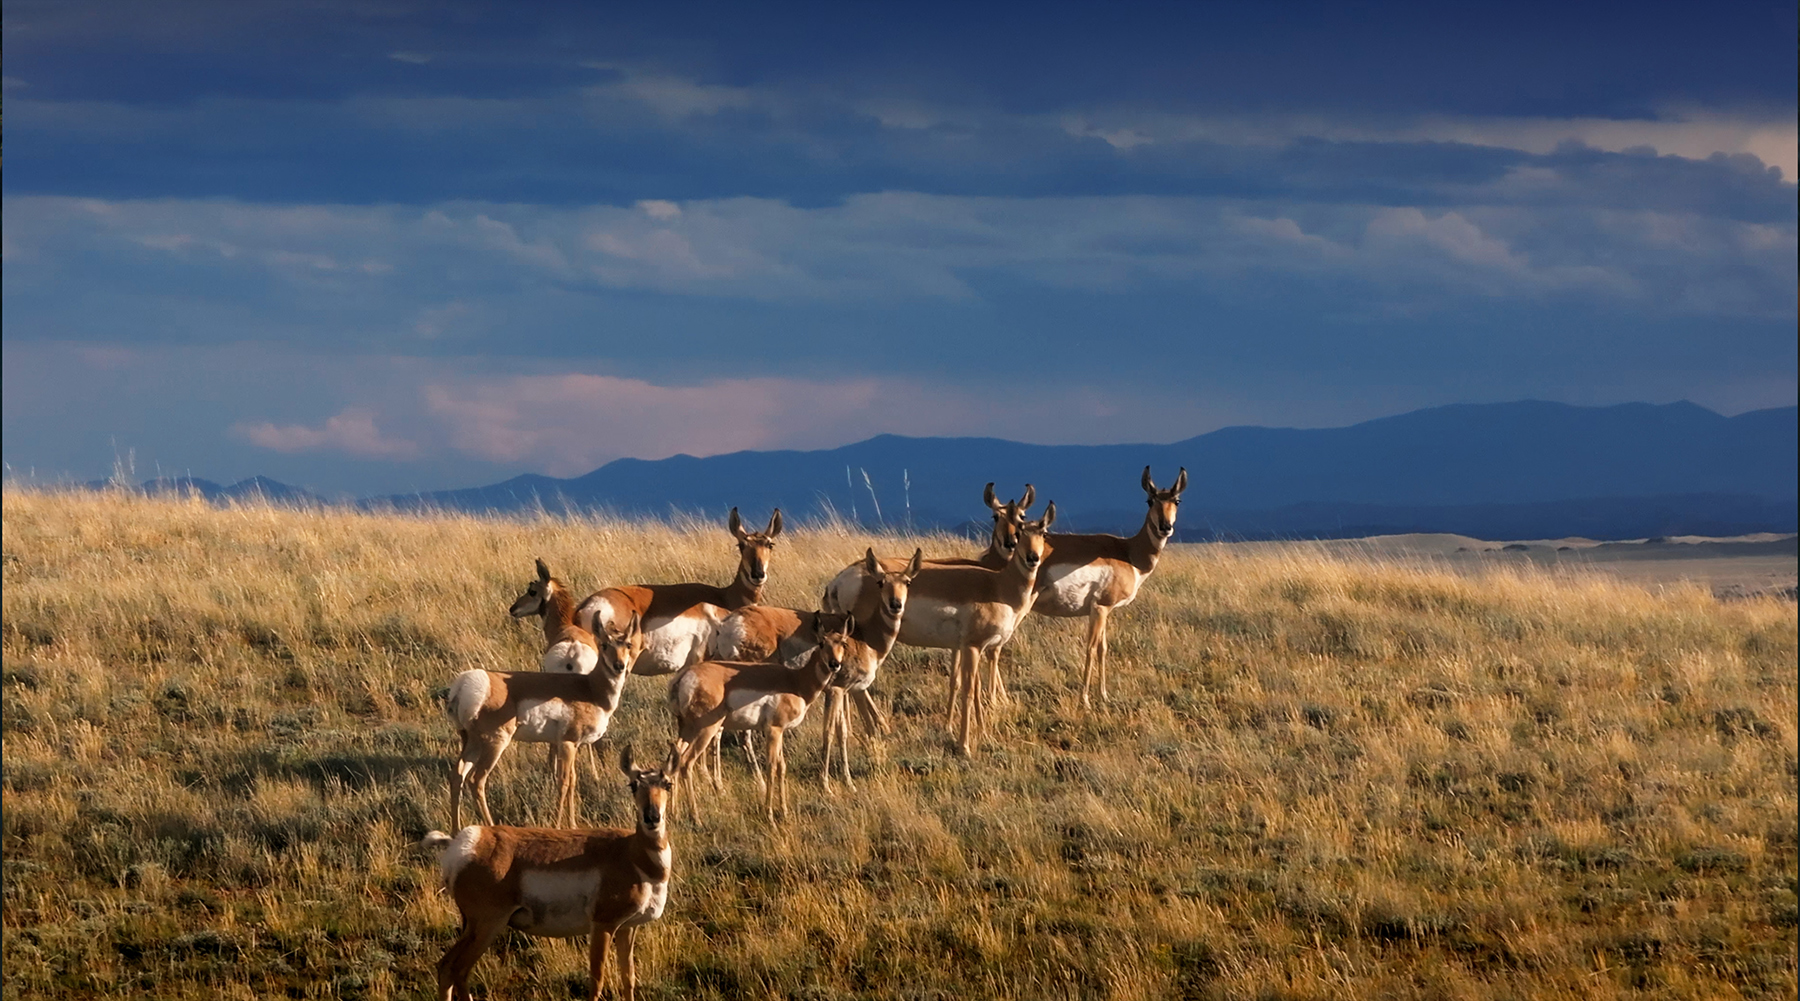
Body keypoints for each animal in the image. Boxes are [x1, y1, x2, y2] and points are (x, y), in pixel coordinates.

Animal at [419, 744, 677, 1001]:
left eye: (667, 784)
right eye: (633, 785)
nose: (652, 818)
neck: (632, 853)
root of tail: (467, 842)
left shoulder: (627, 927)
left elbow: (628, 978)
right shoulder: (603, 925)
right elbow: (597, 980)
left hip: (475, 927)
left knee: (452, 969)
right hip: (487, 925)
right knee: (454, 968)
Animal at [445, 612, 645, 830]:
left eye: (627, 644)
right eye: (604, 645)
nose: (619, 666)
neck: (590, 689)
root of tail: (467, 684)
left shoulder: (574, 745)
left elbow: (573, 780)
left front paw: (573, 825)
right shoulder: (567, 743)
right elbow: (563, 782)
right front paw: (557, 826)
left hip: (471, 741)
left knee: (457, 775)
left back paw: (456, 829)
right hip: (495, 743)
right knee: (477, 780)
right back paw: (491, 826)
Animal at [666, 615, 855, 823]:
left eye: (843, 643)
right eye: (822, 643)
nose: (834, 664)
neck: (795, 680)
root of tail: (685, 676)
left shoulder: (780, 732)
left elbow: (781, 767)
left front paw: (784, 812)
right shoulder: (773, 730)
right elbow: (771, 768)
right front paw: (770, 815)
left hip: (686, 729)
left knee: (675, 756)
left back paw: (675, 812)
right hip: (707, 729)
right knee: (686, 762)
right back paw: (696, 817)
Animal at [883, 504, 1055, 756]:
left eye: (1043, 532)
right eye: (1020, 531)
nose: (1032, 558)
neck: (996, 583)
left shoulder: (970, 647)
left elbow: (970, 684)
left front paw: (975, 731)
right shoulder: (973, 646)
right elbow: (969, 687)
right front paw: (964, 743)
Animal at [1032, 466, 1187, 708]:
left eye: (1176, 500)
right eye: (1149, 500)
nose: (1165, 527)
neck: (1128, 552)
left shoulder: (1105, 611)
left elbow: (1103, 649)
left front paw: (1103, 695)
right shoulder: (1100, 608)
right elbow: (1091, 648)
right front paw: (1085, 700)